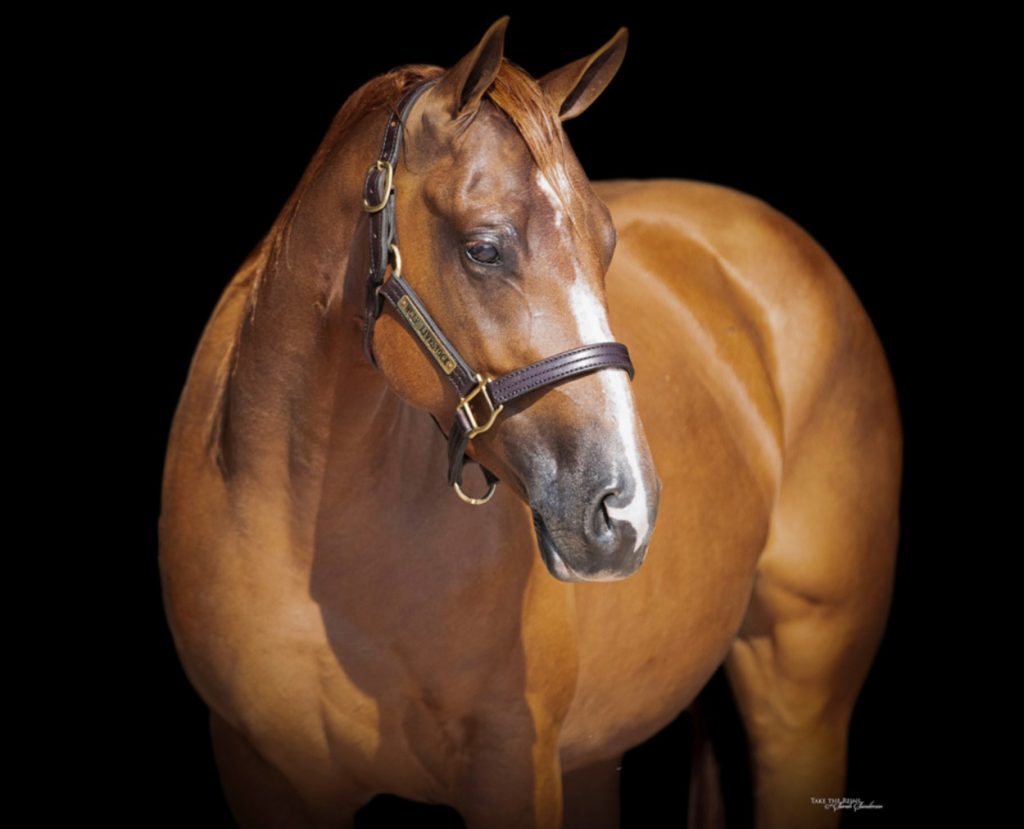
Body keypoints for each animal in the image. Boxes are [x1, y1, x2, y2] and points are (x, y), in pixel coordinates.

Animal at [159, 18, 900, 829]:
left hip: (801, 705)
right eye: (484, 247)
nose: (626, 511)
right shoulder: (263, 773)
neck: (307, 534)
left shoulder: (515, 766)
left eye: (607, 243)